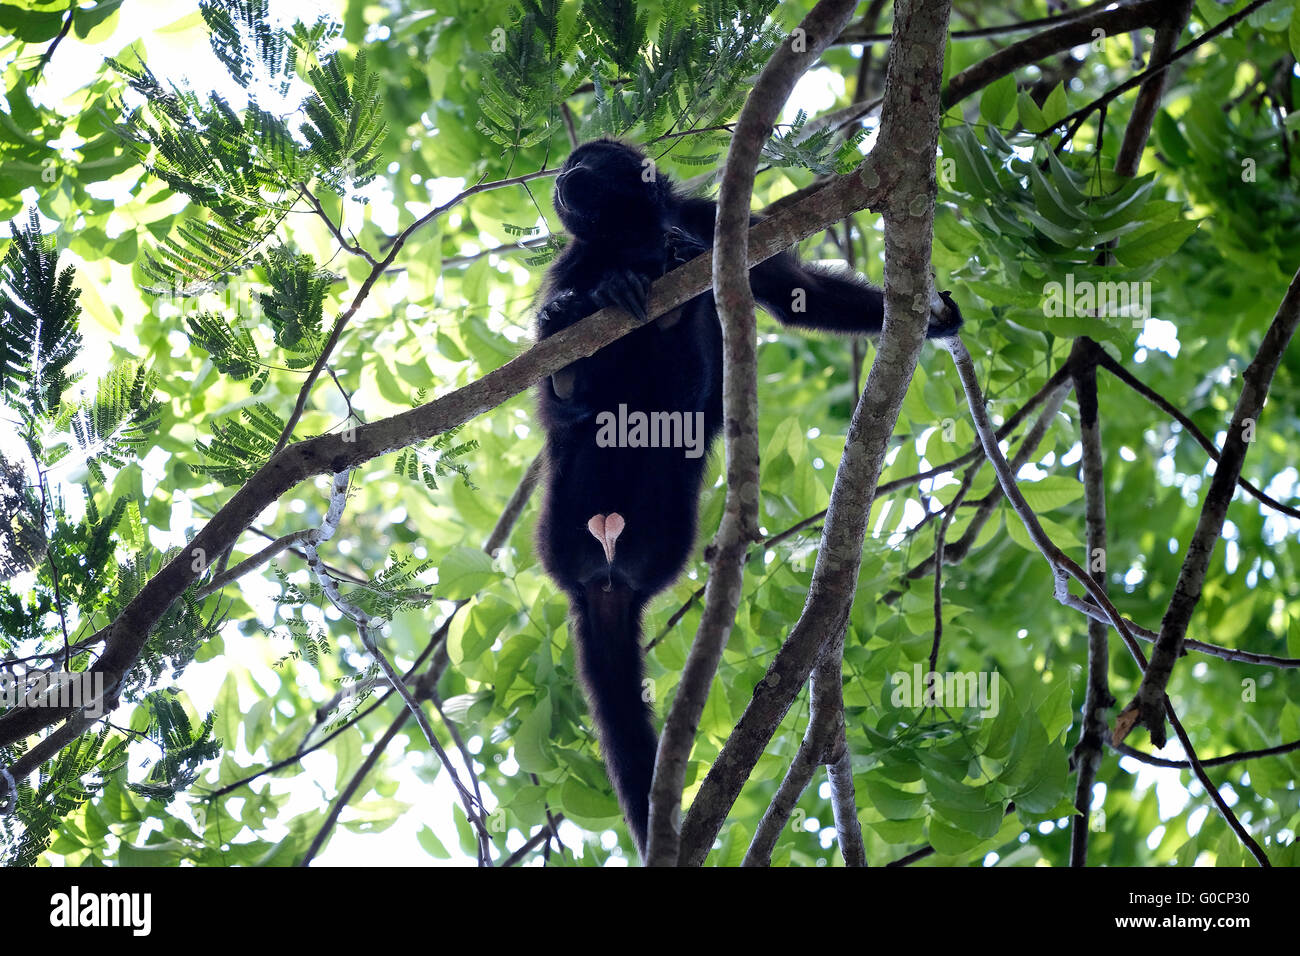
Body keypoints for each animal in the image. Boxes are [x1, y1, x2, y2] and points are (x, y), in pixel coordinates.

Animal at [532, 138, 962, 860]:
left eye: (586, 159)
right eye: (568, 167)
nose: (565, 176)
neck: (631, 232)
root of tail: (604, 580)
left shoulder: (708, 220)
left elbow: (795, 293)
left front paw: (933, 322)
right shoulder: (573, 259)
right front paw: (576, 320)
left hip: (664, 528)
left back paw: (671, 314)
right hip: (562, 512)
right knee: (567, 401)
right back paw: (584, 357)